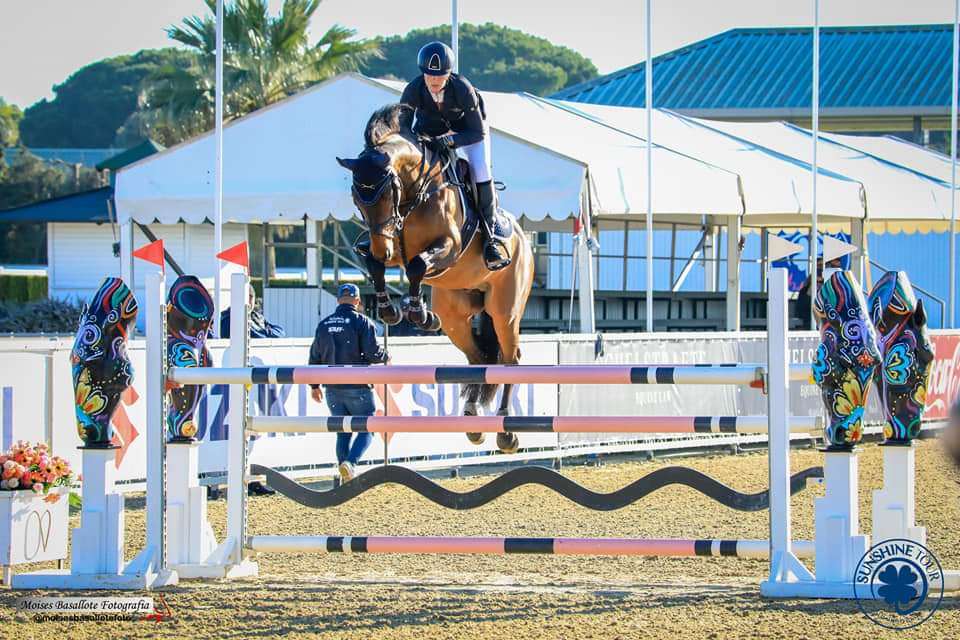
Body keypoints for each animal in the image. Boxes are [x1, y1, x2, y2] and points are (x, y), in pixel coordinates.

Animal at [336, 104, 534, 454]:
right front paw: (392, 310)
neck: (414, 194)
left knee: (511, 360)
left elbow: (416, 266)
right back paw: (472, 422)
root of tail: (524, 239)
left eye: (387, 194)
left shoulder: (448, 246)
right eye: (356, 198)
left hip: (504, 311)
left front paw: (416, 313)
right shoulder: (387, 246)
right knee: (477, 358)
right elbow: (376, 264)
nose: (383, 247)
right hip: (455, 314)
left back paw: (506, 431)